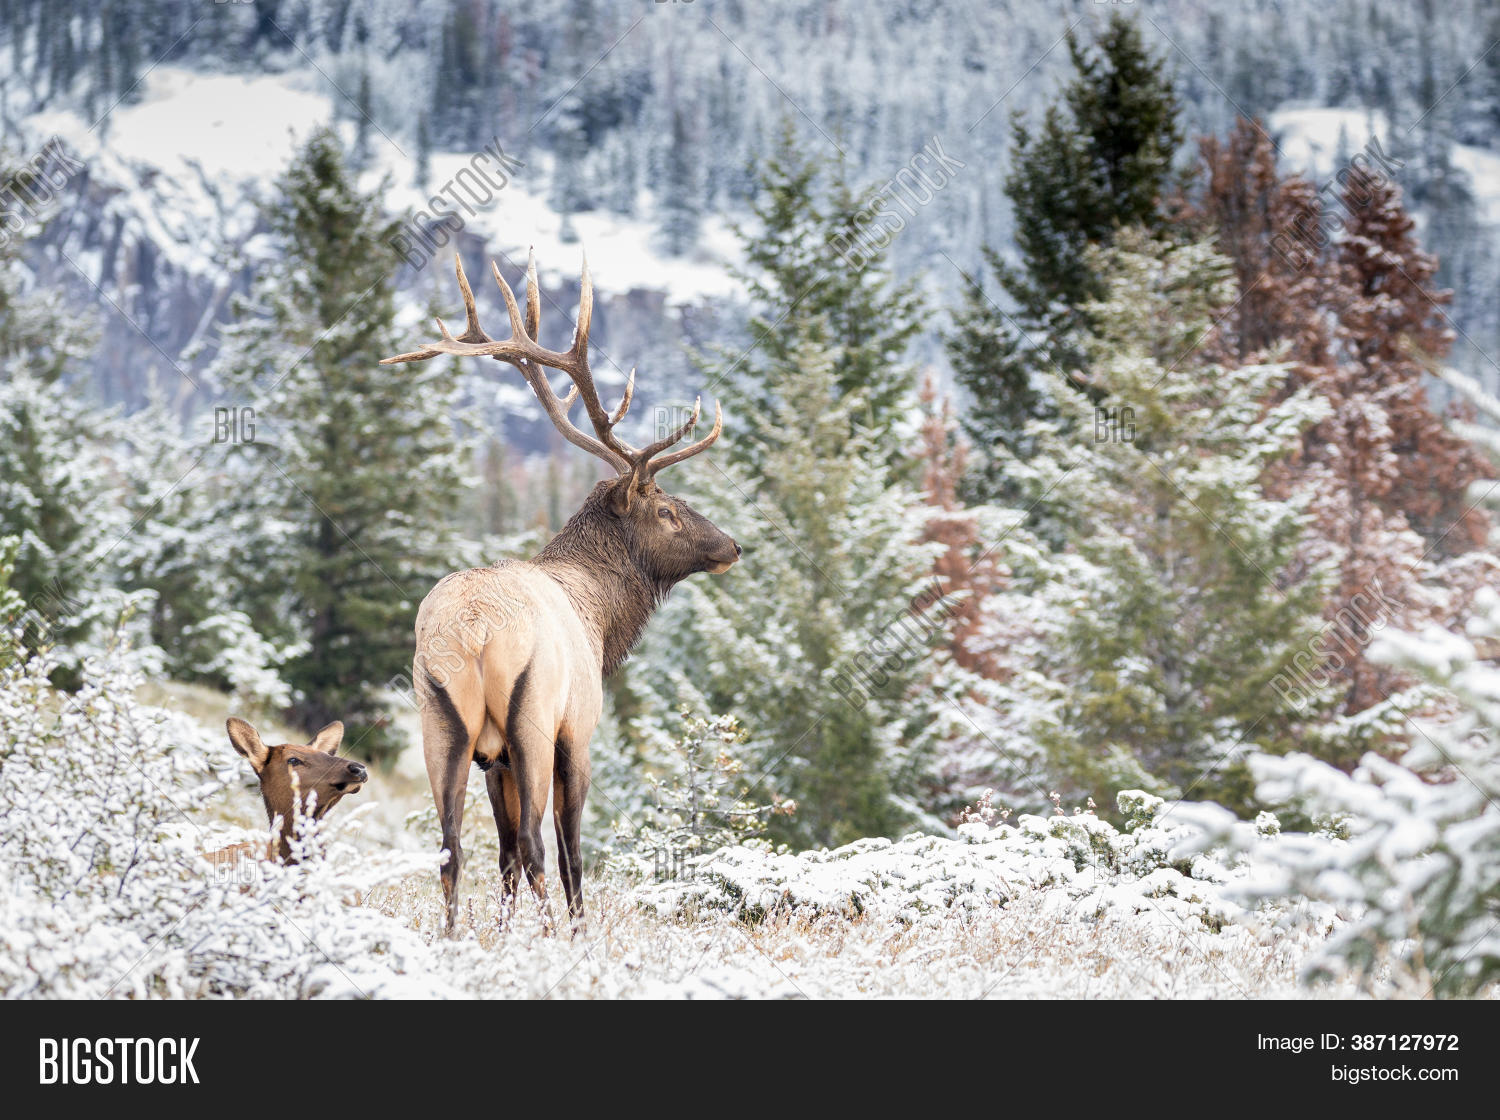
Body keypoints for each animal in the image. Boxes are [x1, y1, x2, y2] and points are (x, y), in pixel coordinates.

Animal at [381, 250, 740, 931]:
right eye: (666, 510)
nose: (732, 546)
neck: (602, 621)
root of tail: (474, 632)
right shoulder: (579, 731)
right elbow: (572, 845)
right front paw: (578, 925)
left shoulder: (492, 759)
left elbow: (499, 856)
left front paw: (500, 931)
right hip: (532, 720)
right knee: (536, 843)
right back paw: (554, 934)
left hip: (440, 721)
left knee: (452, 845)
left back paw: (453, 935)